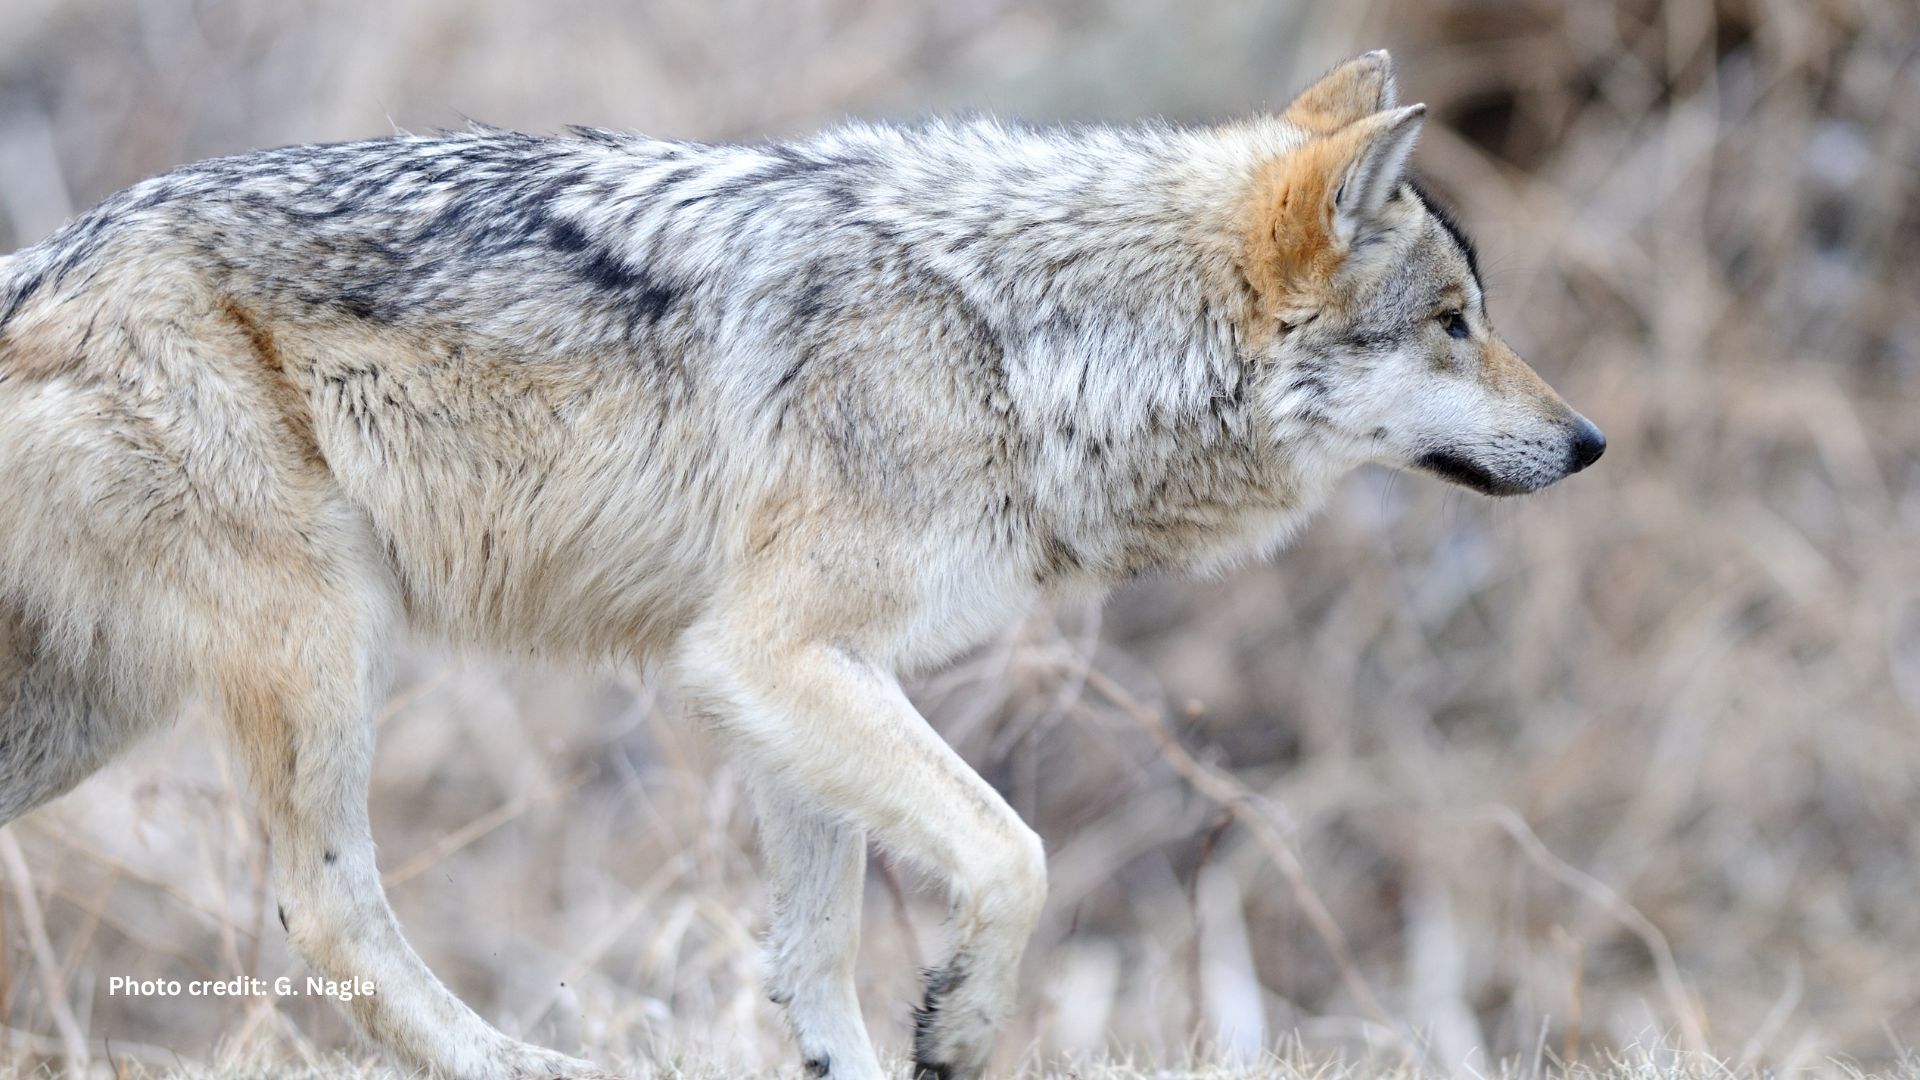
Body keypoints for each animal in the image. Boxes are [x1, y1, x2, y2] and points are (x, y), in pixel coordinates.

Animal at [0, 50, 1600, 1080]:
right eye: (1454, 323)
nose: (1589, 442)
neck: (1025, 340)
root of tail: (41, 261)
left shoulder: (795, 678)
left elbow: (813, 952)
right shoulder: (773, 654)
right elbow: (1013, 856)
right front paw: (959, 1029)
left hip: (91, 716)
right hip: (323, 648)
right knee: (330, 908)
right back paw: (523, 1064)